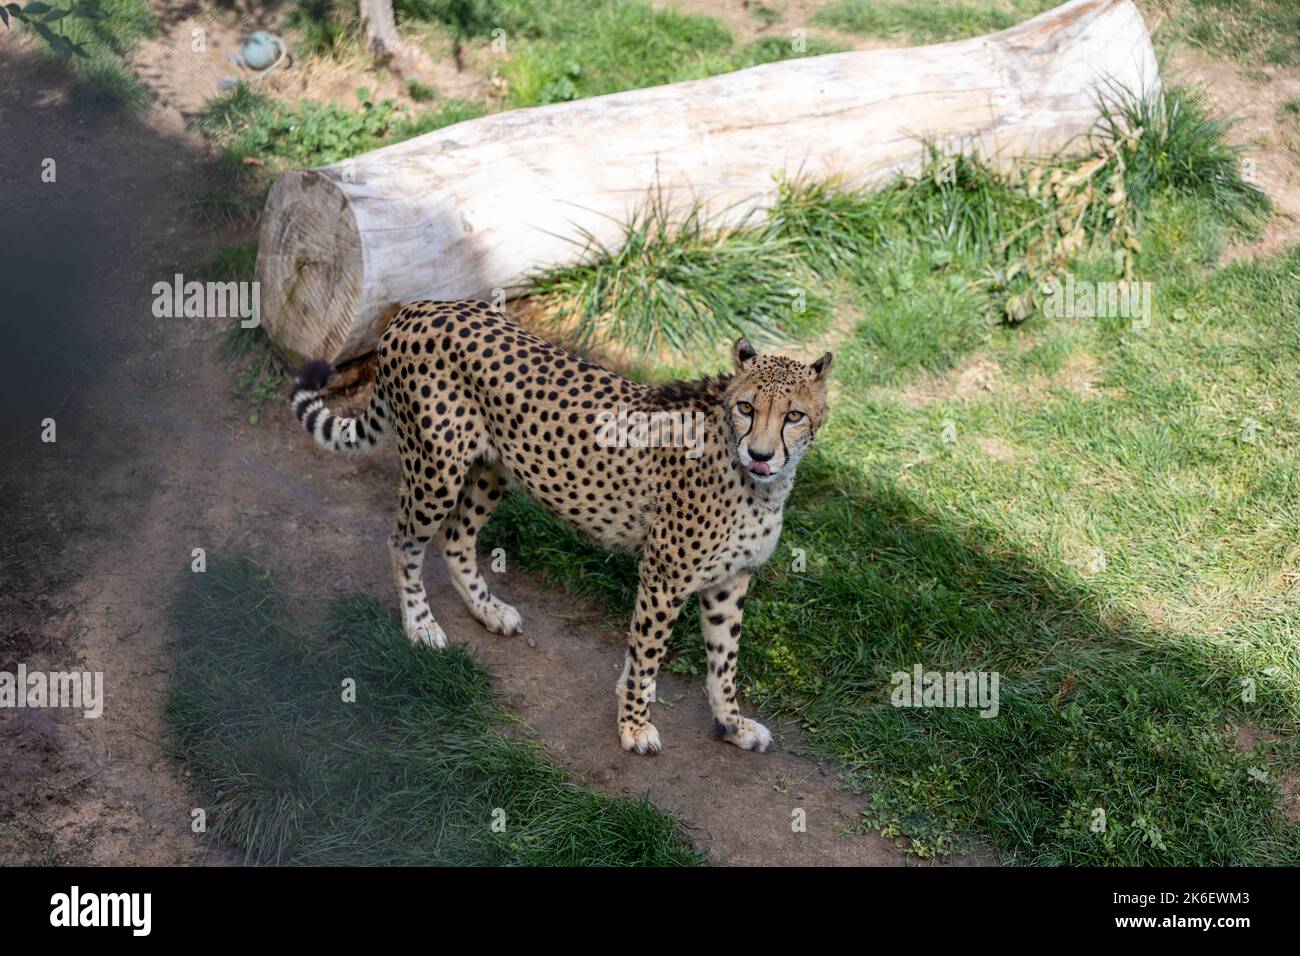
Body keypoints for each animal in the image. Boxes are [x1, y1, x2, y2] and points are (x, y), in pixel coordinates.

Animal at [289, 299, 832, 755]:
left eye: (794, 415)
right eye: (746, 408)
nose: (760, 454)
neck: (758, 483)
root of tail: (419, 307)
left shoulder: (730, 580)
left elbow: (723, 661)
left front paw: (731, 725)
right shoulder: (664, 576)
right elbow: (650, 651)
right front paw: (634, 725)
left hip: (491, 469)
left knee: (457, 537)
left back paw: (488, 611)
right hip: (436, 470)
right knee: (404, 540)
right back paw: (420, 625)